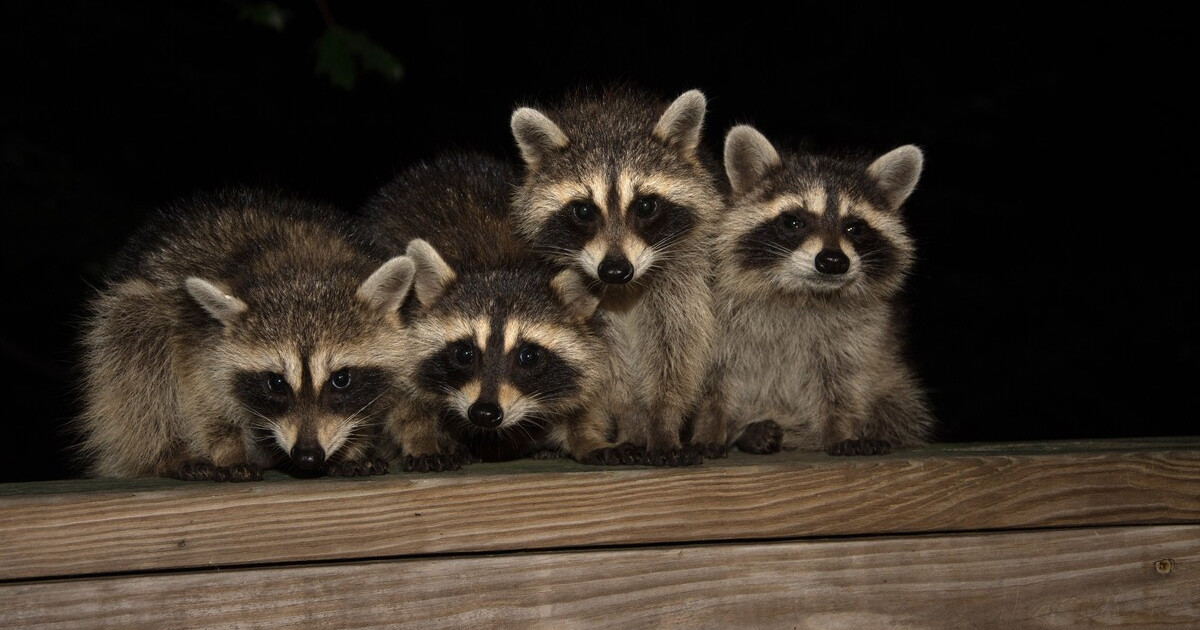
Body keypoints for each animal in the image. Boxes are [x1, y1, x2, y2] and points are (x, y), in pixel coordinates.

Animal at [73, 187, 415, 481]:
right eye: (276, 382)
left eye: (341, 379)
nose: (307, 456)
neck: (301, 268)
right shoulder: (197, 336)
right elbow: (205, 401)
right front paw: (227, 449)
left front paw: (352, 448)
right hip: (133, 313)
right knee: (137, 355)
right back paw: (165, 453)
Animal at [360, 151, 636, 471]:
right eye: (464, 353)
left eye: (528, 356)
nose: (484, 413)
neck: (500, 264)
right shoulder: (399, 334)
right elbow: (403, 403)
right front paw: (422, 440)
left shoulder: (591, 340)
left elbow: (586, 394)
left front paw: (588, 436)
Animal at [508, 84, 723, 466]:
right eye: (582, 210)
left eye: (646, 206)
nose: (615, 270)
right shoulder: (592, 303)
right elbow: (606, 368)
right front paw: (632, 423)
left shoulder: (683, 279)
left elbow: (678, 351)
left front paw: (664, 421)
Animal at [691, 125, 935, 457]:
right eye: (793, 222)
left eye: (855, 227)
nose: (833, 261)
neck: (802, 294)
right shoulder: (716, 319)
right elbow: (711, 382)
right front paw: (709, 428)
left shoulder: (858, 335)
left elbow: (843, 382)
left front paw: (841, 430)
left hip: (896, 385)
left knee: (897, 407)